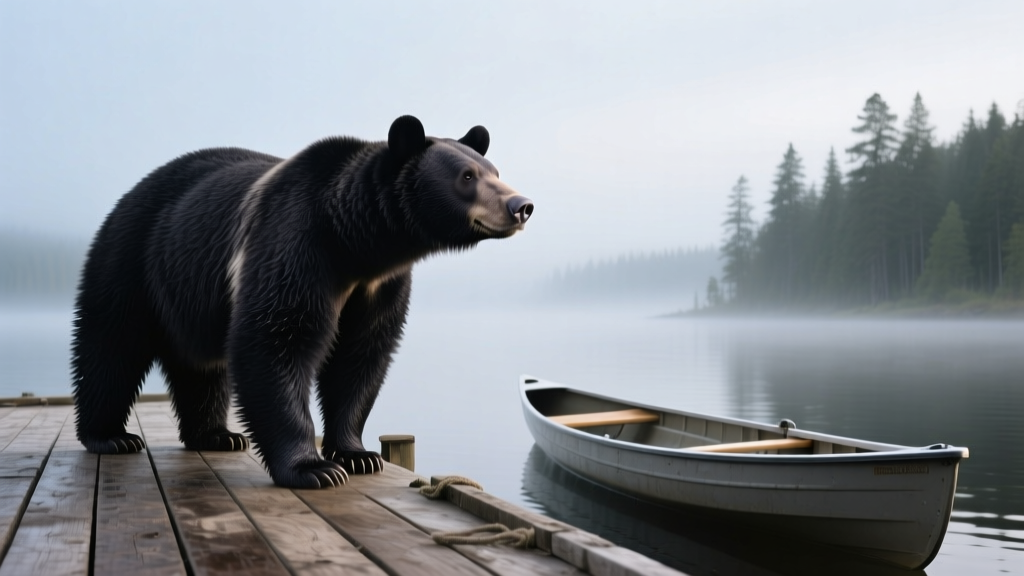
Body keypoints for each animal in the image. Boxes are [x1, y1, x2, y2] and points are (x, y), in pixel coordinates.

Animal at [71, 115, 533, 489]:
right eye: (467, 176)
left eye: (495, 170)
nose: (521, 205)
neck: (358, 244)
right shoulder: (297, 243)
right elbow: (278, 338)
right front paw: (313, 468)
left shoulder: (380, 285)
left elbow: (361, 356)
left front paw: (357, 455)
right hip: (133, 258)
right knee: (111, 343)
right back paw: (111, 435)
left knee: (202, 366)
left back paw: (218, 434)